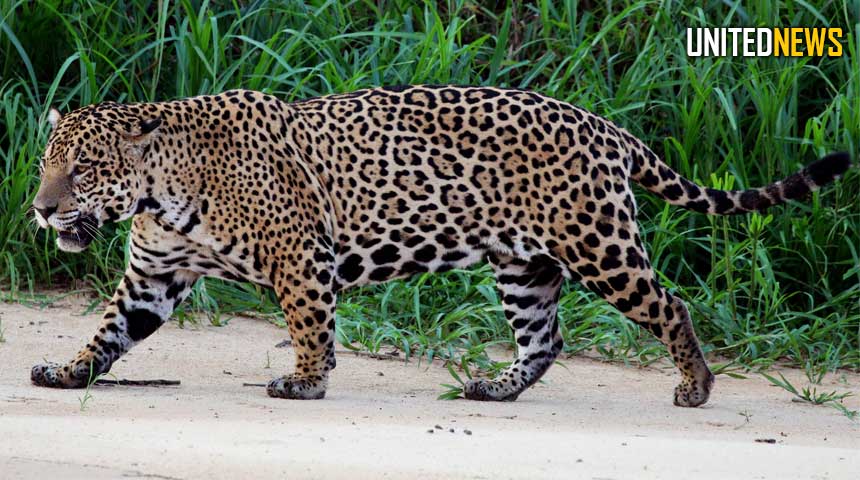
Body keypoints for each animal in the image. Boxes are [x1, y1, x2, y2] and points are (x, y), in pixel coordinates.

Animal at [30, 85, 851, 406]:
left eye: (84, 170)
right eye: (45, 165)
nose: (39, 210)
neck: (163, 190)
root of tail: (604, 125)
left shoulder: (301, 257)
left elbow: (309, 325)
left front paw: (306, 381)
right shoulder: (153, 277)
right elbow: (108, 333)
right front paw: (68, 373)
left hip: (598, 244)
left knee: (670, 303)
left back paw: (694, 386)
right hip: (524, 265)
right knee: (544, 338)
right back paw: (496, 389)